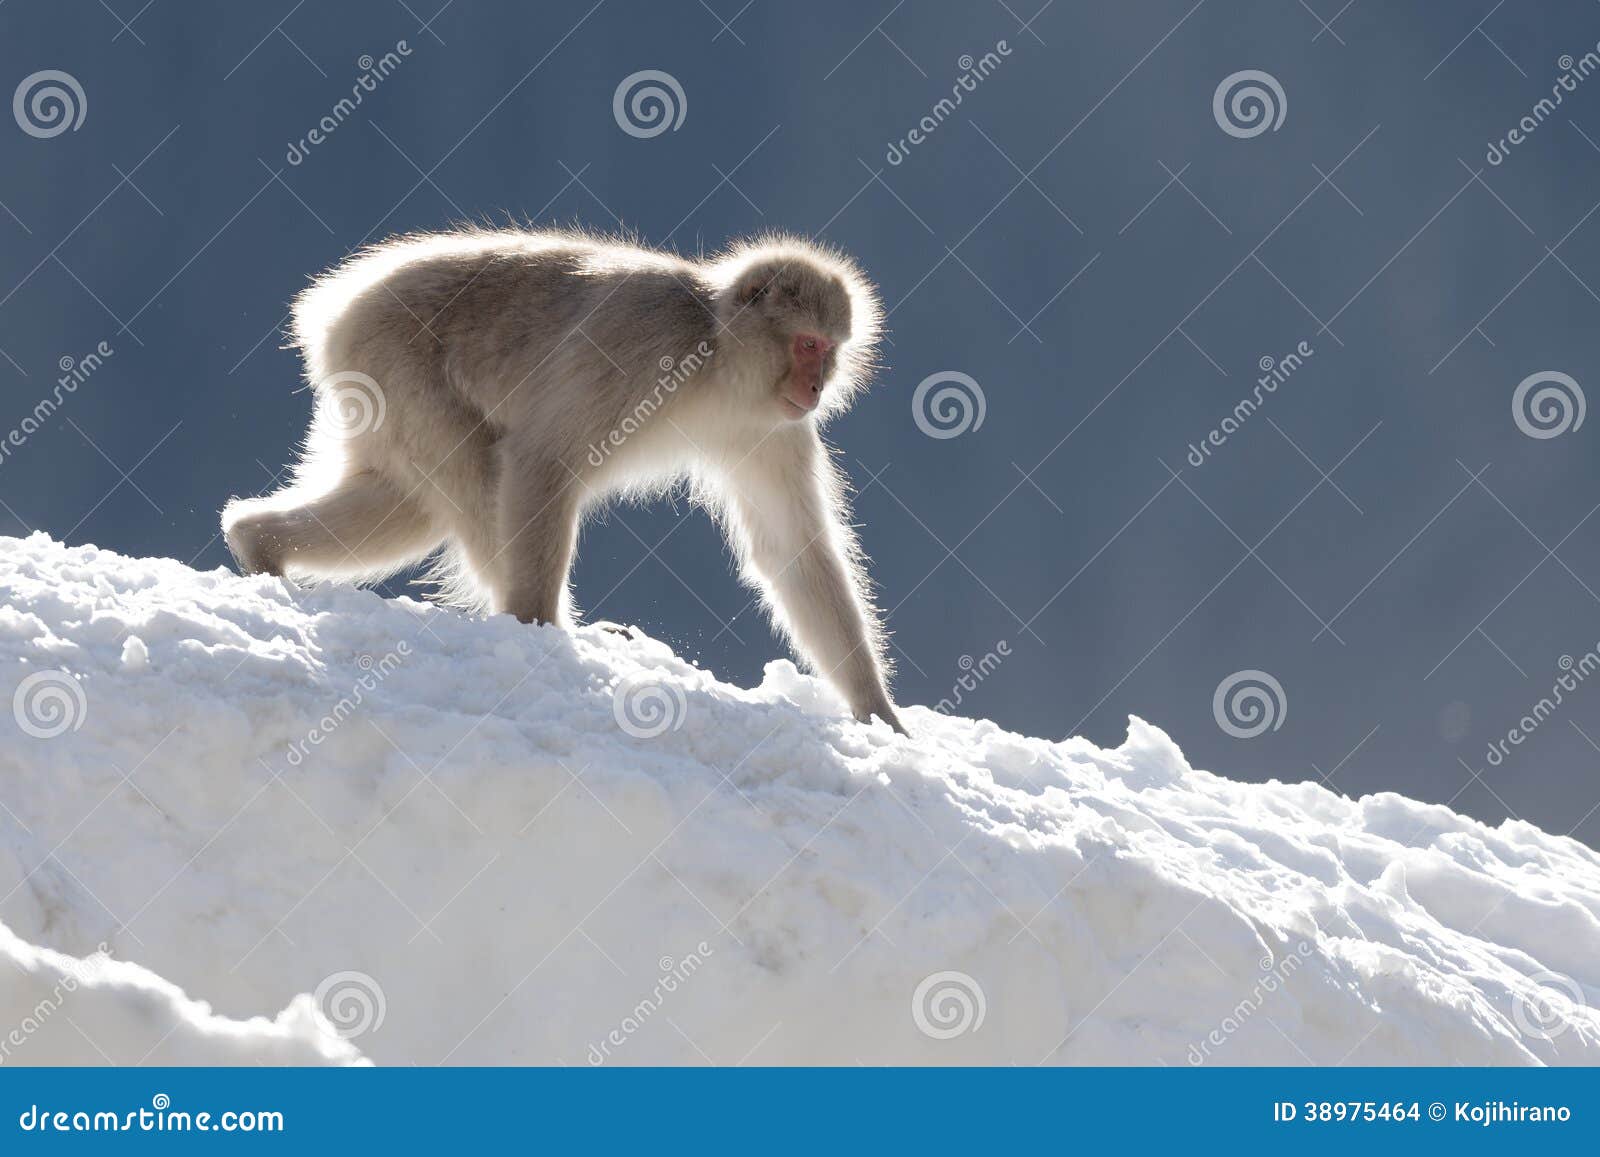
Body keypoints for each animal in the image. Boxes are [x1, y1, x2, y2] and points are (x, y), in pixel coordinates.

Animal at [221, 228, 906, 733]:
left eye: (830, 351)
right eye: (808, 344)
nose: (816, 388)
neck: (716, 361)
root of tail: (337, 304)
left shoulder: (773, 430)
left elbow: (794, 549)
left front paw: (878, 714)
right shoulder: (639, 345)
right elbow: (544, 458)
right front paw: (538, 628)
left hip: (379, 392)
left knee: (408, 505)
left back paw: (257, 540)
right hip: (393, 362)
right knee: (478, 478)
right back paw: (541, 628)